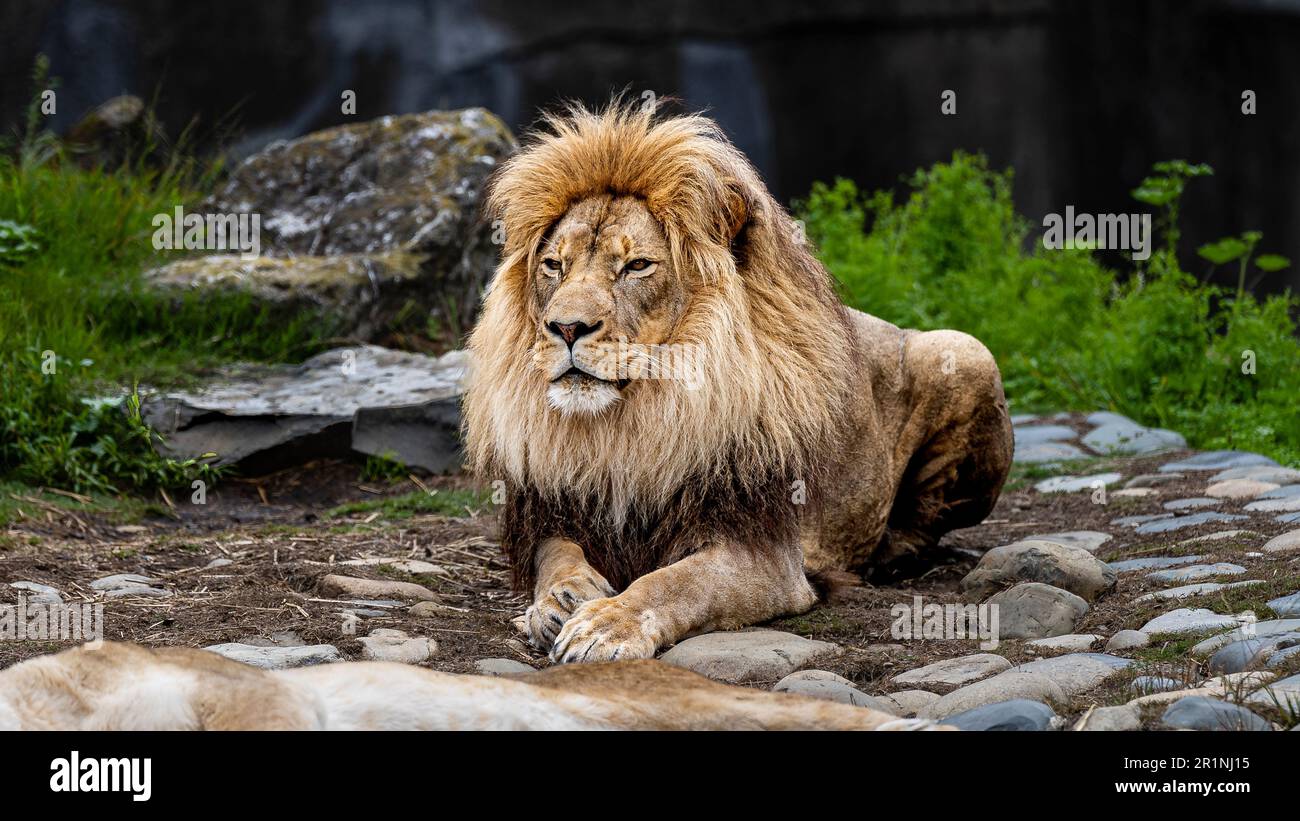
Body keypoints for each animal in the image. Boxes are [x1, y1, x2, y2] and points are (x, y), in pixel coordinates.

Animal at [463, 99, 1014, 665]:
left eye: (637, 265)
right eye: (554, 265)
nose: (566, 327)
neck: (634, 424)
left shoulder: (766, 553)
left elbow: (676, 583)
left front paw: (607, 624)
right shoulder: (554, 511)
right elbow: (557, 558)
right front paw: (560, 600)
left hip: (965, 352)